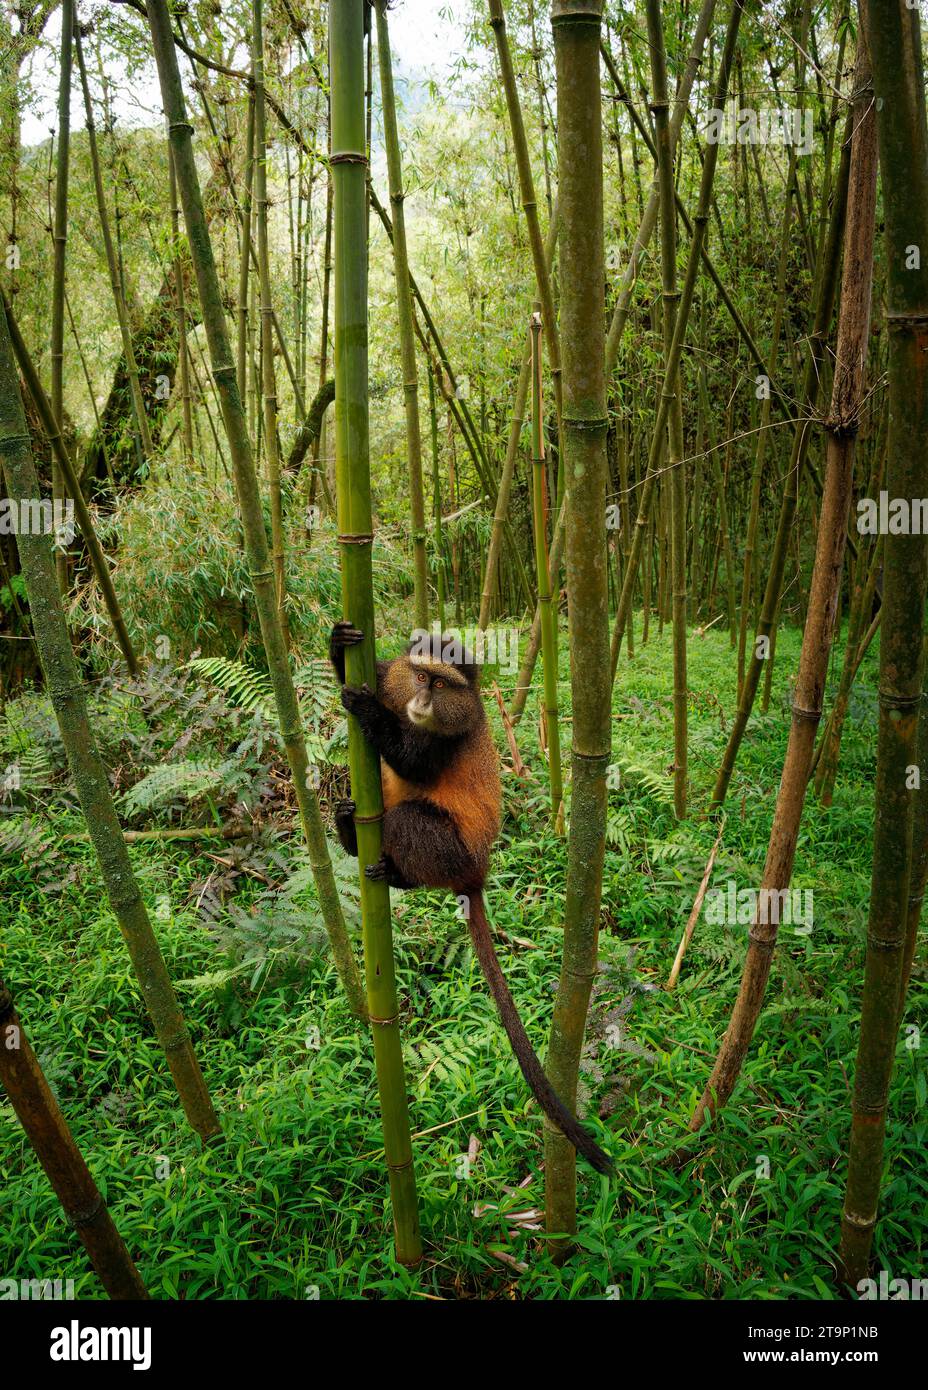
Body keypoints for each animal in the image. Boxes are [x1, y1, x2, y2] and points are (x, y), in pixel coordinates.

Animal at [329, 621, 612, 1176]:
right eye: (420, 675)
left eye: (442, 685)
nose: (420, 700)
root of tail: (475, 874)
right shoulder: (390, 676)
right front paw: (338, 641)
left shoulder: (451, 734)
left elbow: (413, 765)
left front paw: (370, 712)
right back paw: (349, 824)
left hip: (447, 853)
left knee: (406, 818)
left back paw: (394, 873)